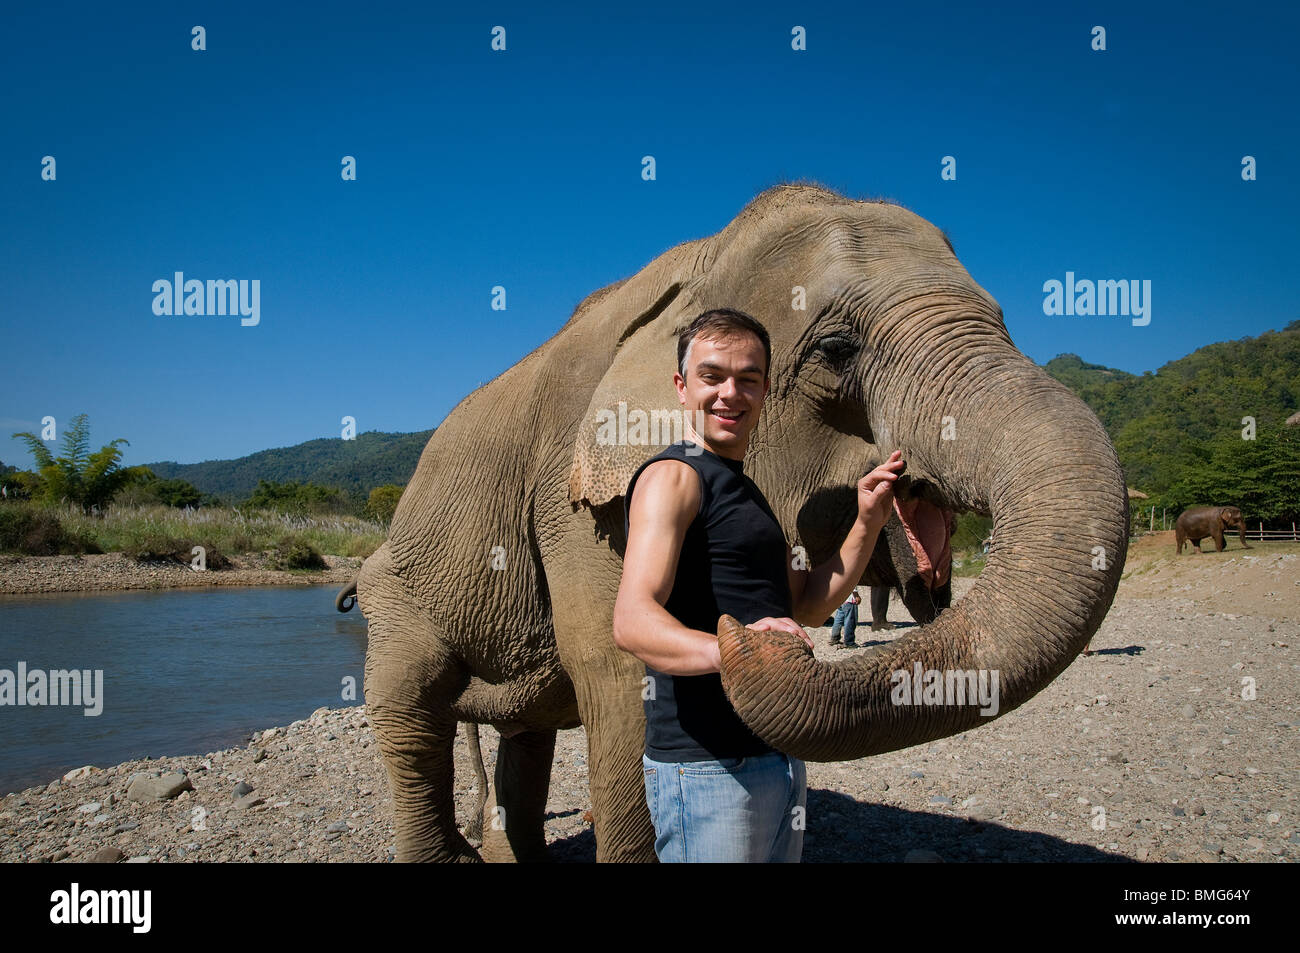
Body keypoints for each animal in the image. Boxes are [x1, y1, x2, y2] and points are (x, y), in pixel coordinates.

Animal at [338, 182, 1129, 862]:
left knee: (521, 732)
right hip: (396, 594)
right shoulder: (583, 502)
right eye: (836, 349)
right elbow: (622, 672)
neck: (702, 260)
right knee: (411, 714)